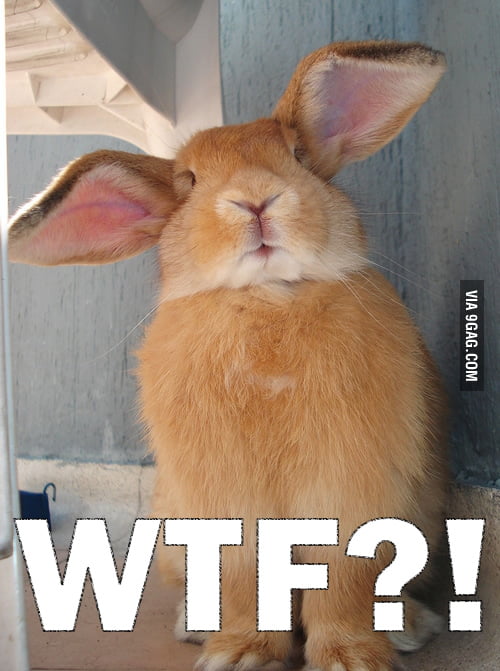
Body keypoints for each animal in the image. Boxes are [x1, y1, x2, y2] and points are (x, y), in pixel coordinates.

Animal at [9, 41, 448, 671]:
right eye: (189, 181)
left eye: (298, 156)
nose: (255, 198)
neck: (265, 298)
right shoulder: (226, 506)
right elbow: (245, 584)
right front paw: (240, 655)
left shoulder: (350, 491)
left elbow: (344, 583)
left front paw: (349, 658)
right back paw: (198, 628)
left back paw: (410, 627)